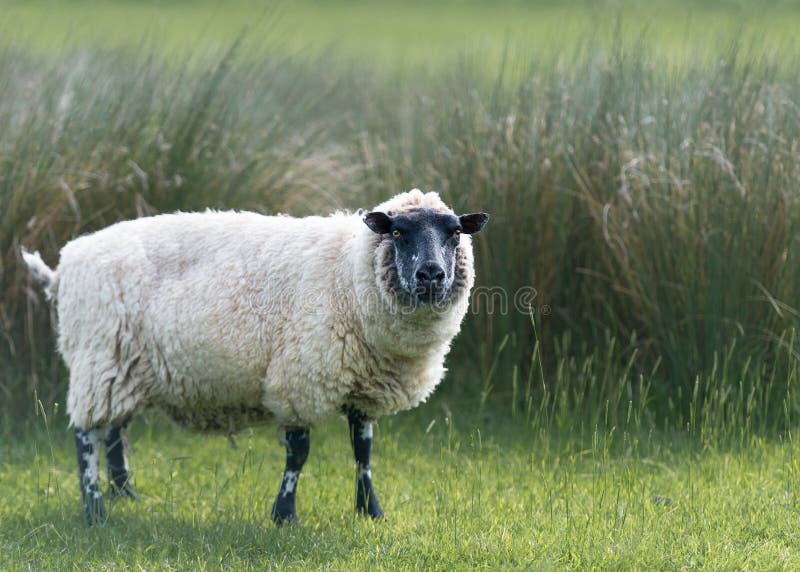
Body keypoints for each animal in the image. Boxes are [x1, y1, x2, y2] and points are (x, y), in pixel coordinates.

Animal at [22, 189, 489, 525]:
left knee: (116, 430)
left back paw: (126, 496)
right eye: (396, 233)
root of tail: (65, 265)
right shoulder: (300, 379)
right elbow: (299, 454)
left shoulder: (363, 387)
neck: (348, 275)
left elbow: (364, 452)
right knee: (86, 436)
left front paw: (370, 512)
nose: (431, 274)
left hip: (125, 365)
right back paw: (96, 512)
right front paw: (284, 516)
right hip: (98, 357)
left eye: (454, 233)